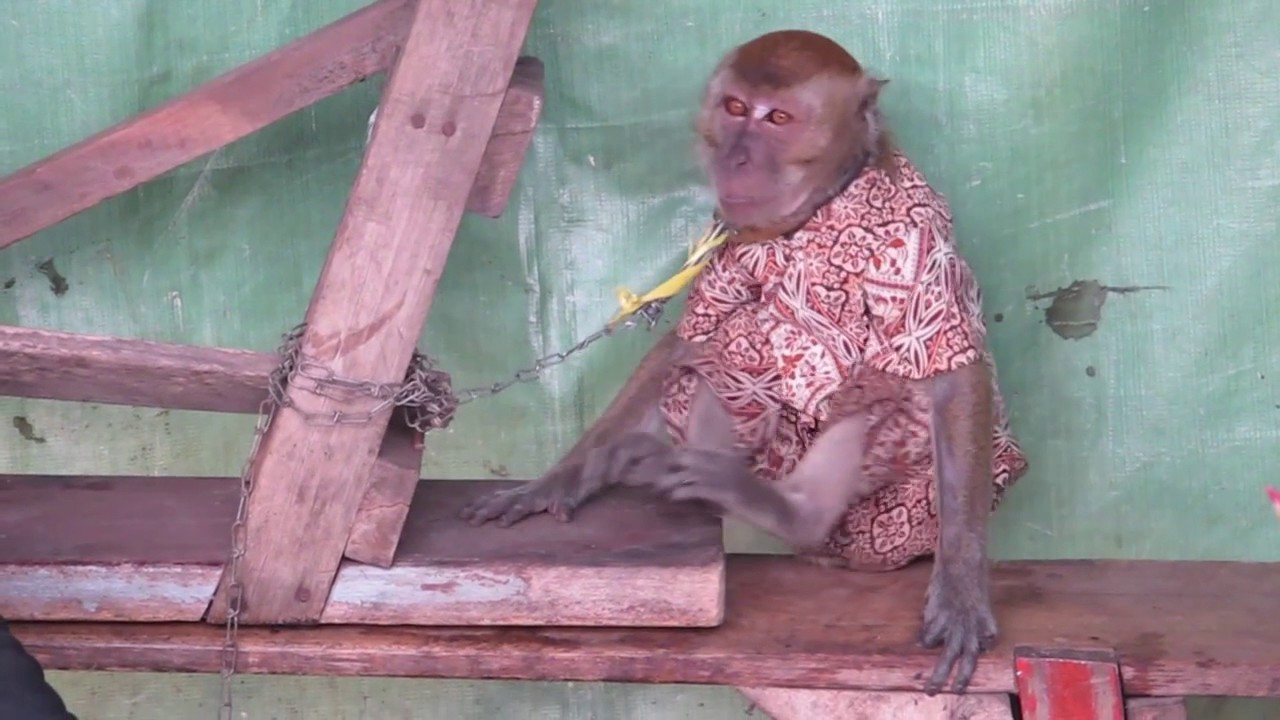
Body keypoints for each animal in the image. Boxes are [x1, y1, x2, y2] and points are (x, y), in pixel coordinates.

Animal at [460, 29, 1028, 694]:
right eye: (735, 108)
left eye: (778, 119)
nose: (735, 158)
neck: (814, 213)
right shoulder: (727, 234)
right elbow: (689, 339)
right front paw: (558, 479)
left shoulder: (914, 238)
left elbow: (949, 374)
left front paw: (962, 595)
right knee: (736, 338)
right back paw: (688, 472)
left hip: (892, 520)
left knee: (880, 385)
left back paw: (795, 512)